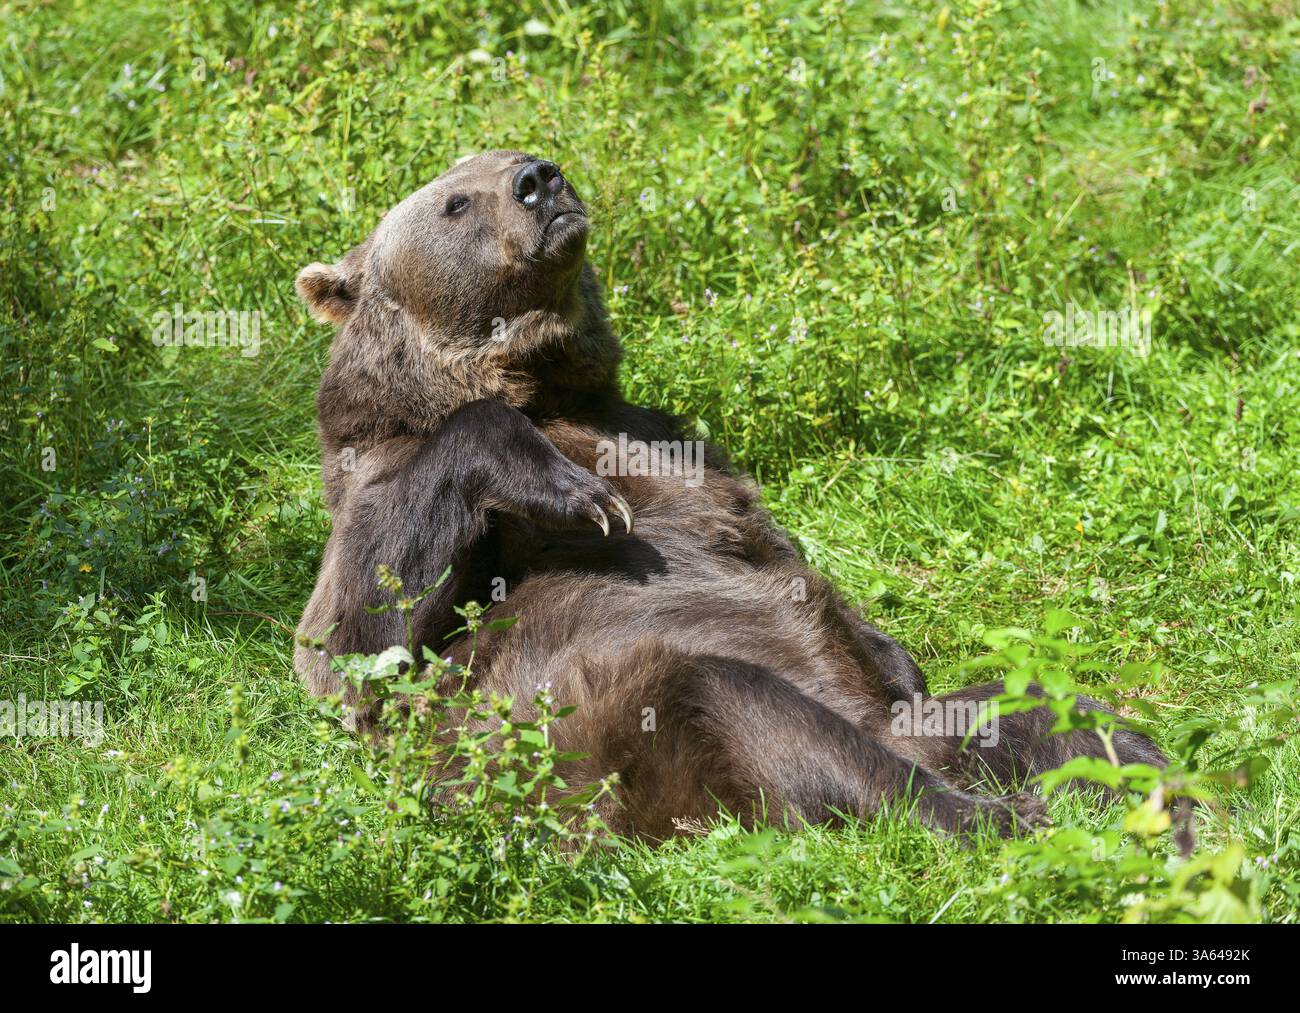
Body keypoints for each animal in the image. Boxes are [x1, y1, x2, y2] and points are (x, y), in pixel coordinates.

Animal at [292, 150, 1167, 841]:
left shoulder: (668, 442)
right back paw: (992, 812)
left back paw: (1140, 766)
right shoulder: (394, 478)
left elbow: (774, 551)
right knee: (768, 712)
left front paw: (899, 658)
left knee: (1034, 708)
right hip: (630, 738)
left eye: (515, 154)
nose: (538, 179)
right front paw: (581, 495)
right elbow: (358, 646)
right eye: (455, 200)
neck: (543, 380)